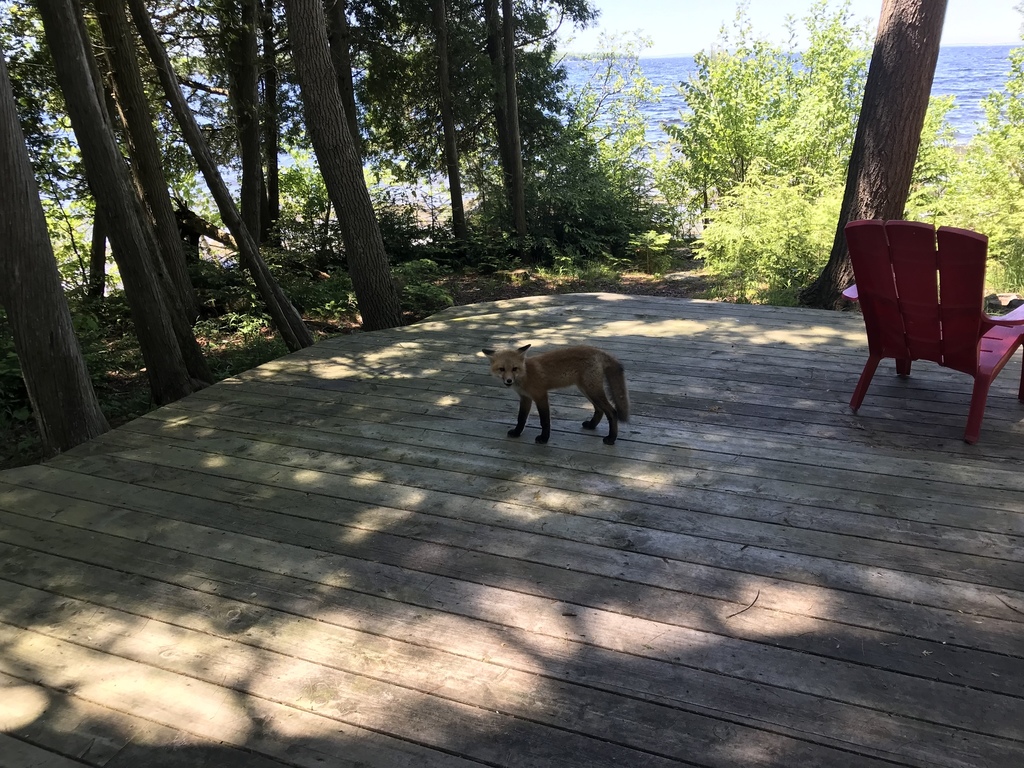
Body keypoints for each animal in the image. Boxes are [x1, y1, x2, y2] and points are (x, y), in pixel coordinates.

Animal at [482, 344, 630, 445]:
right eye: (501, 369)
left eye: (514, 369)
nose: (509, 381)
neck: (526, 374)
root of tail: (597, 350)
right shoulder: (525, 398)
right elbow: (521, 418)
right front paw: (517, 432)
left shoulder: (541, 396)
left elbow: (545, 421)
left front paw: (544, 438)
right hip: (586, 390)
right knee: (599, 410)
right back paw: (592, 425)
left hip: (592, 390)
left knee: (612, 412)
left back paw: (611, 438)